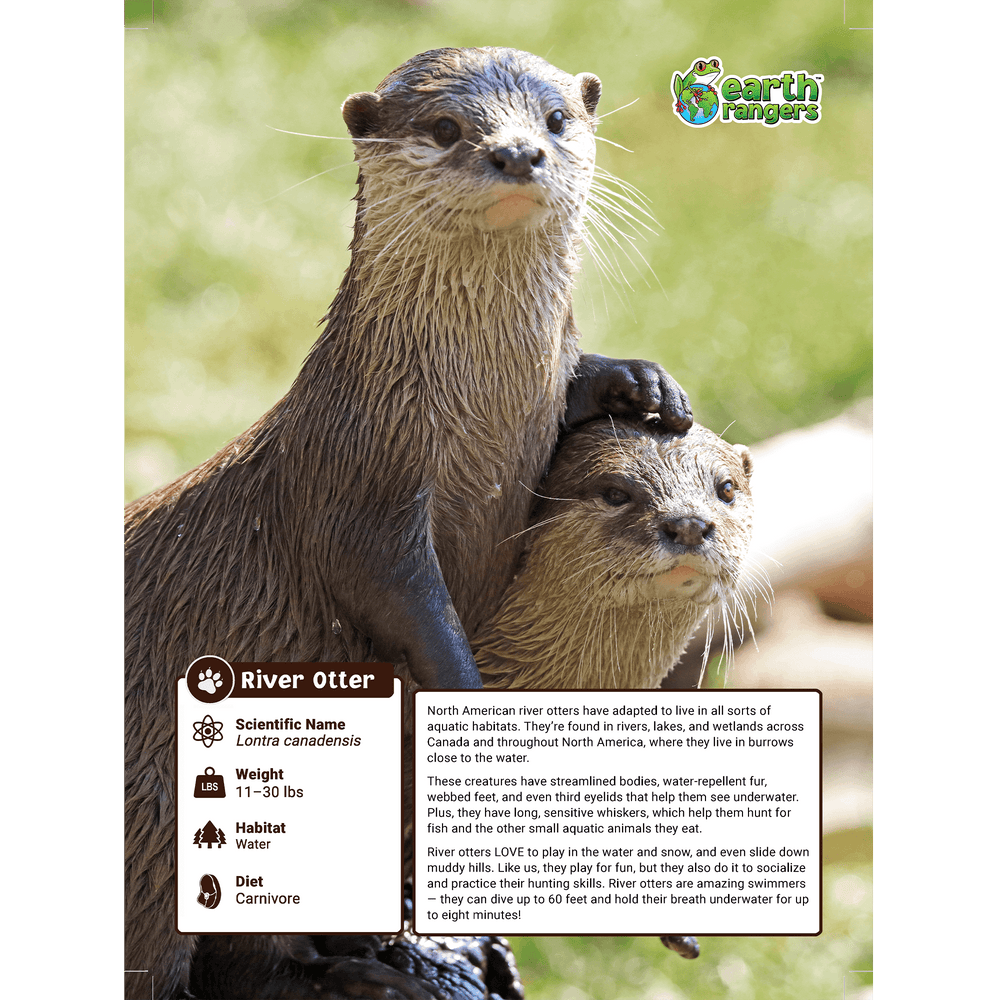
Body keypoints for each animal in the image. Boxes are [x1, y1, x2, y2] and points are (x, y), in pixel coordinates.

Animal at [125, 48, 691, 999]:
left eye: (556, 120)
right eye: (445, 128)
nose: (517, 152)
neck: (470, 420)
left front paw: (637, 383)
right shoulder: (360, 485)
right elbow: (396, 593)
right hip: (151, 813)